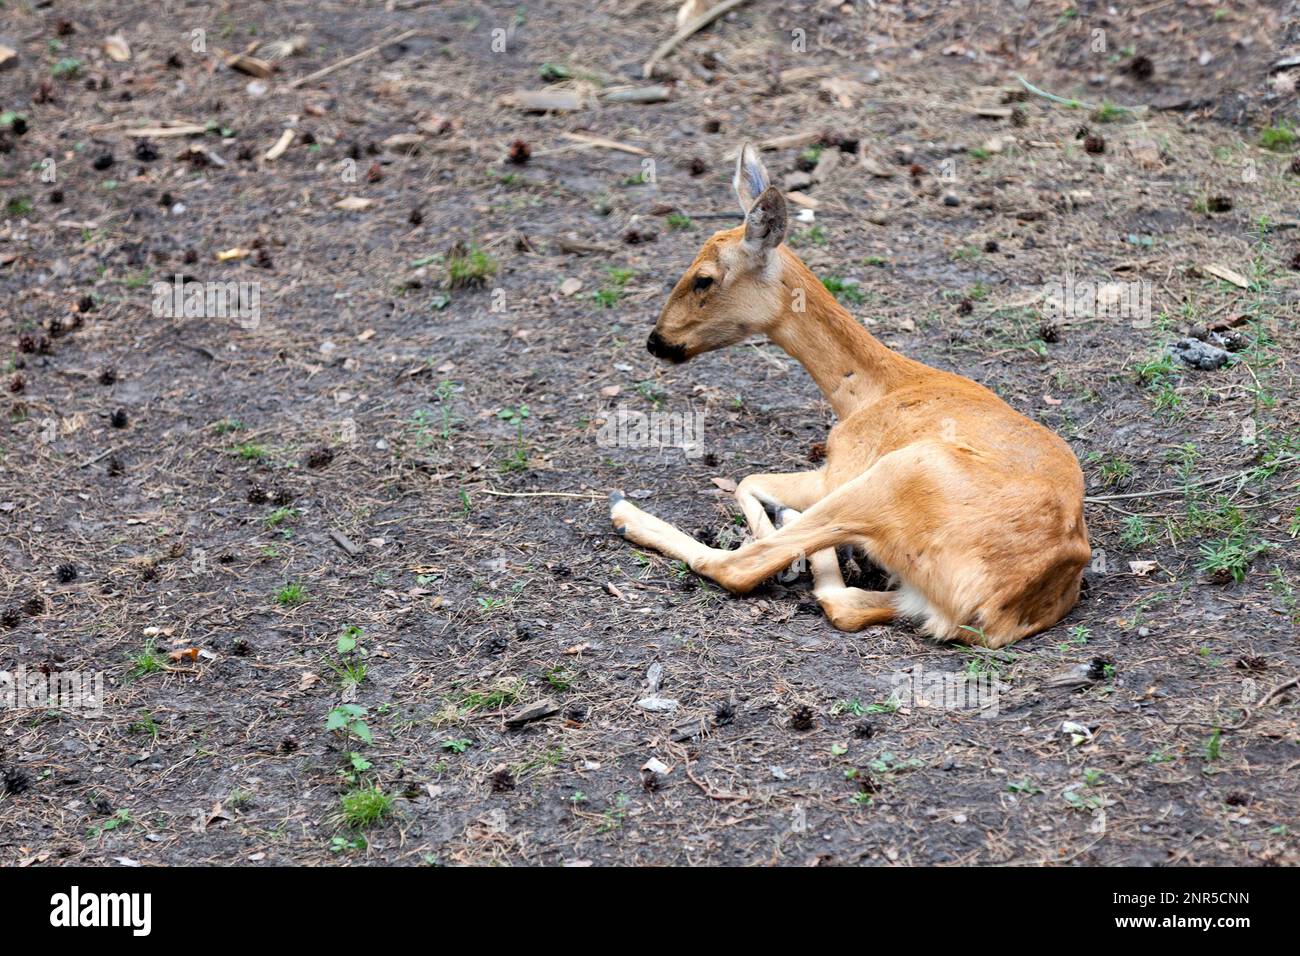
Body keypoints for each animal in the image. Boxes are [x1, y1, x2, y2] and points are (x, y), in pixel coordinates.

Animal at [609, 143, 1091, 648]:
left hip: (896, 474)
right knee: (848, 602)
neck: (865, 393)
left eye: (703, 278)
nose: (656, 341)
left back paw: (628, 513)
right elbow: (751, 482)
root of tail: (995, 610)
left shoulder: (841, 467)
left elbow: (745, 483)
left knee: (744, 569)